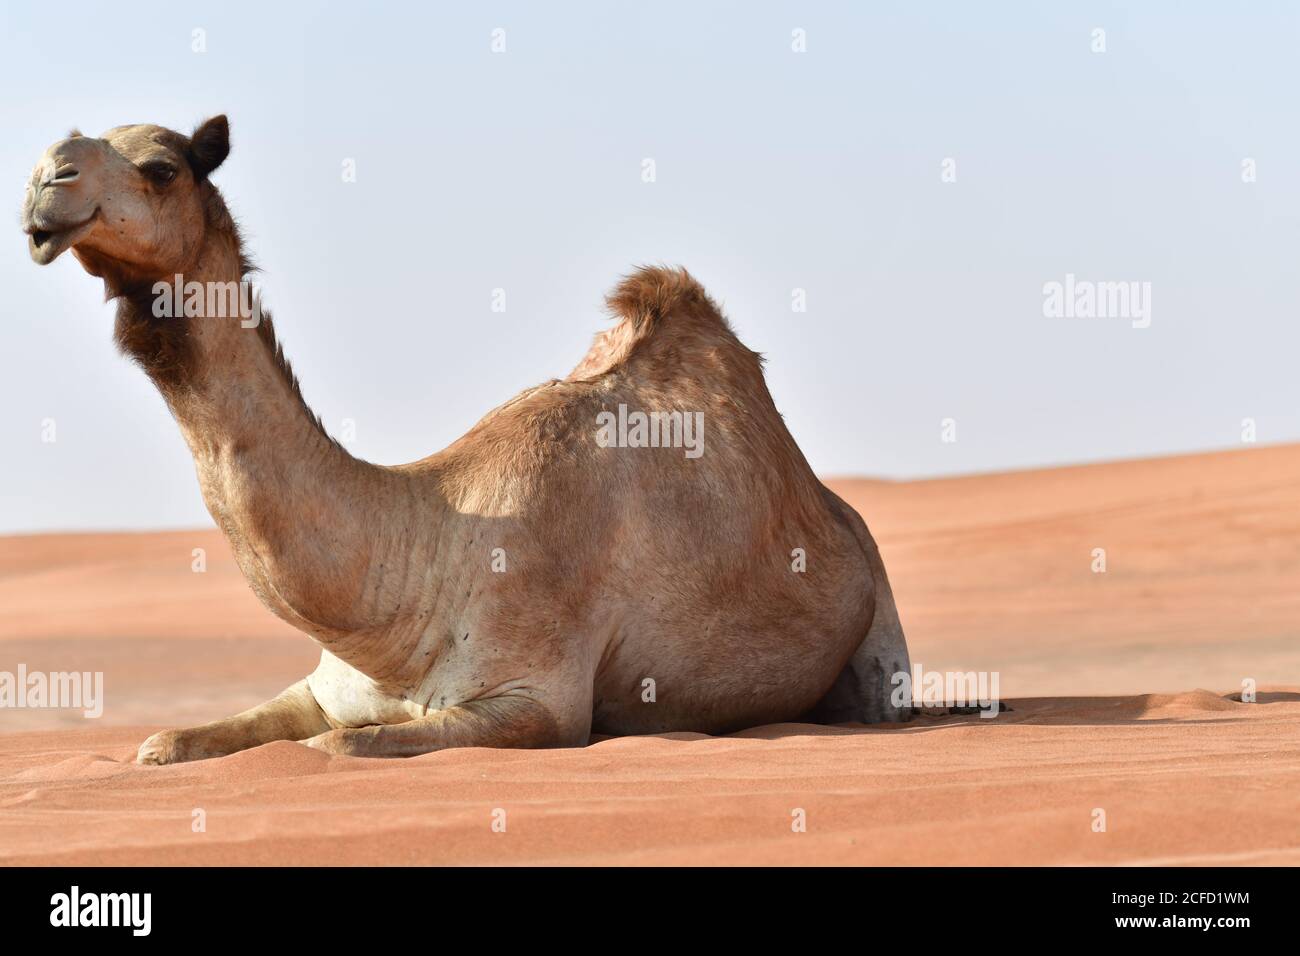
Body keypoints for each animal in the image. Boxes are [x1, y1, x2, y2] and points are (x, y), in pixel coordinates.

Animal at [21, 116, 912, 764]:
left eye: (161, 167)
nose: (44, 181)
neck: (419, 562)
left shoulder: (537, 700)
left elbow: (337, 747)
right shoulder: (325, 689)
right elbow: (170, 742)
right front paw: (166, 745)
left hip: (881, 622)